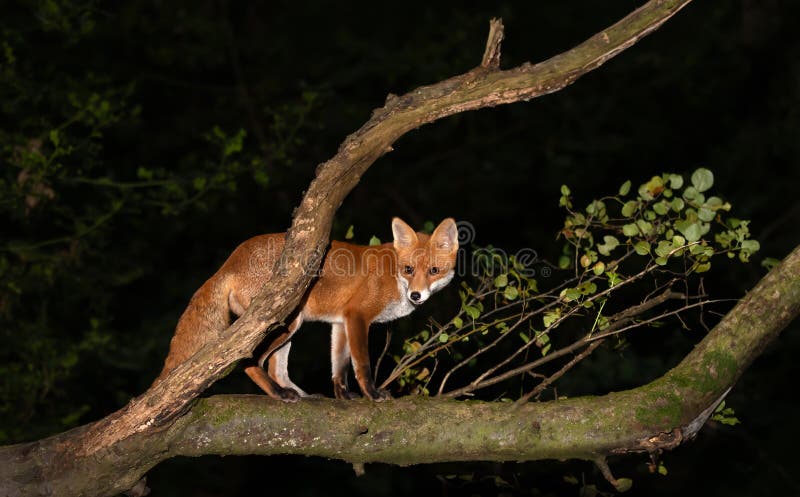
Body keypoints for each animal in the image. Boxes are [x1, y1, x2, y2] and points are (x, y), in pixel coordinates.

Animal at [154, 217, 459, 401]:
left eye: (433, 271)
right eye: (409, 270)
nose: (416, 295)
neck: (392, 274)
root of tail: (230, 261)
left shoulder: (341, 322)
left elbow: (339, 366)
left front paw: (343, 396)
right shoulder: (358, 315)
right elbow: (361, 363)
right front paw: (371, 394)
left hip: (288, 327)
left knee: (277, 369)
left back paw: (299, 394)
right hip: (283, 322)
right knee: (249, 362)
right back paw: (278, 394)